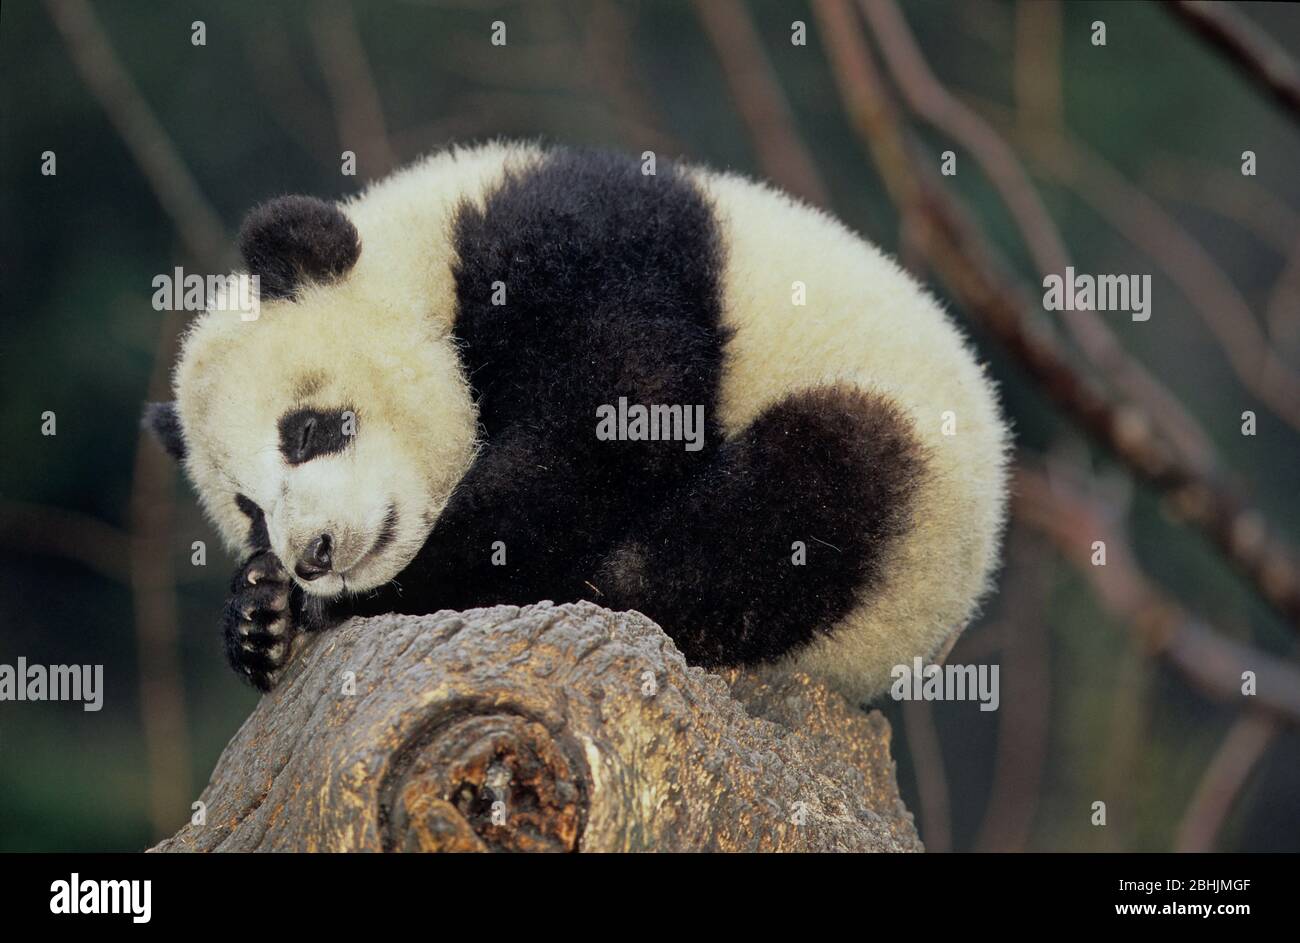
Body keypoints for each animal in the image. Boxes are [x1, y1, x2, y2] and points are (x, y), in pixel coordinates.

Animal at [143, 141, 1009, 700]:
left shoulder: (581, 242)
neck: (425, 252)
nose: (314, 555)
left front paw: (351, 599)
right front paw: (260, 615)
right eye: (249, 511)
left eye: (307, 429)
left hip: (918, 505)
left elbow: (614, 425)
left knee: (822, 478)